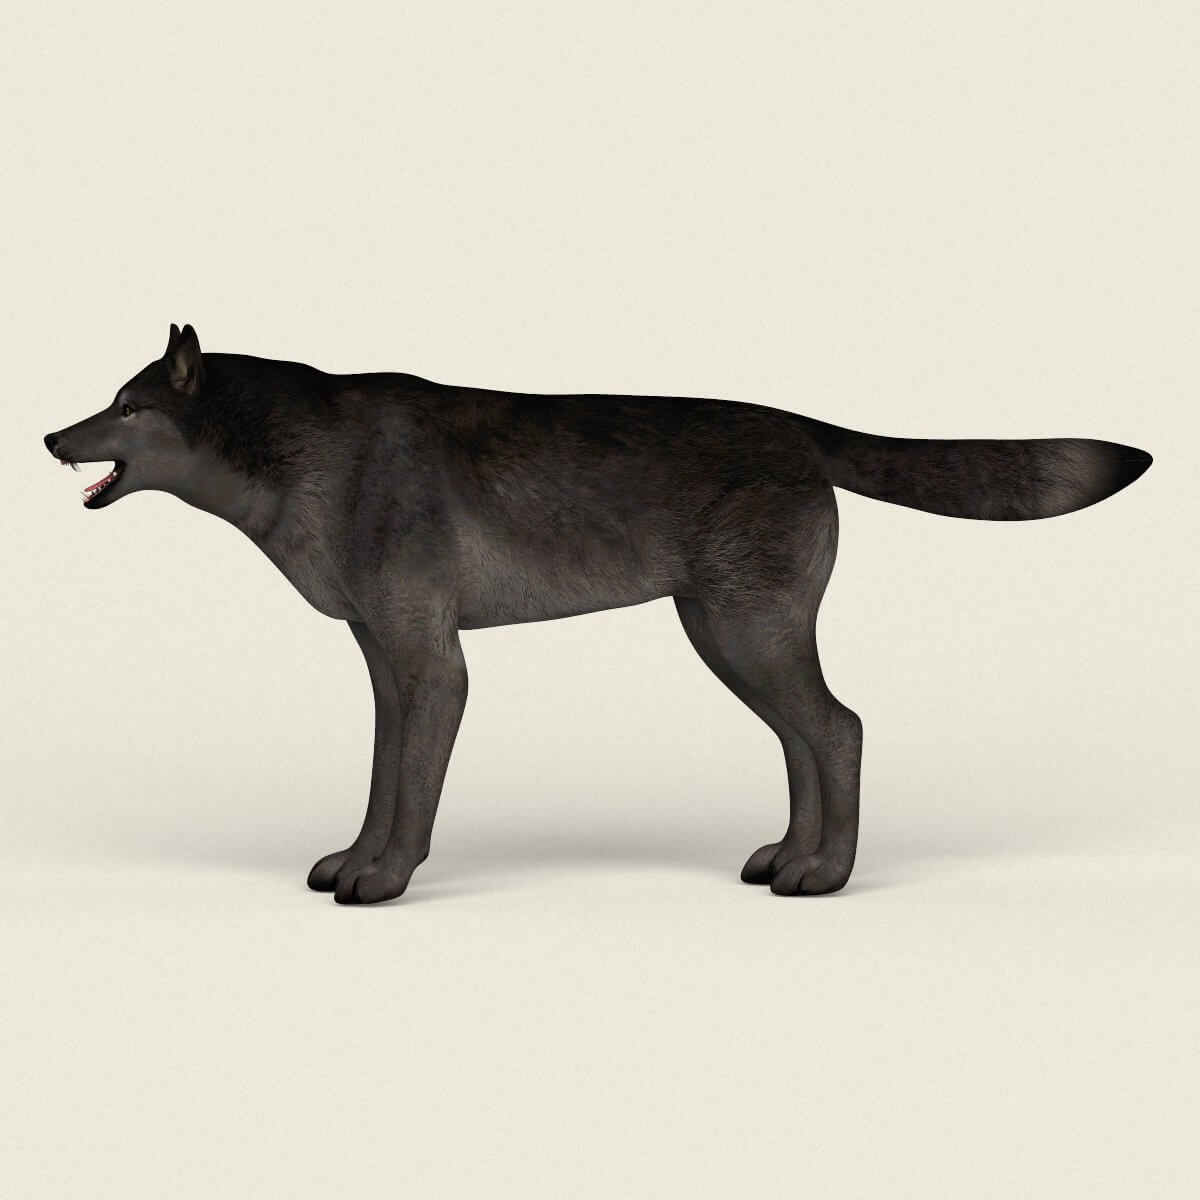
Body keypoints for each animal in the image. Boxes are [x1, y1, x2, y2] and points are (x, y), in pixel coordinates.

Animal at [44, 325, 1151, 903]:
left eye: (128, 407)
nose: (53, 437)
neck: (304, 460)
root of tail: (799, 428)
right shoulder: (389, 665)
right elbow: (380, 776)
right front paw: (357, 861)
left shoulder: (436, 666)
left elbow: (411, 789)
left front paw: (389, 875)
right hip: (729, 640)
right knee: (808, 738)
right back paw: (786, 858)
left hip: (743, 639)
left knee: (841, 728)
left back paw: (827, 874)